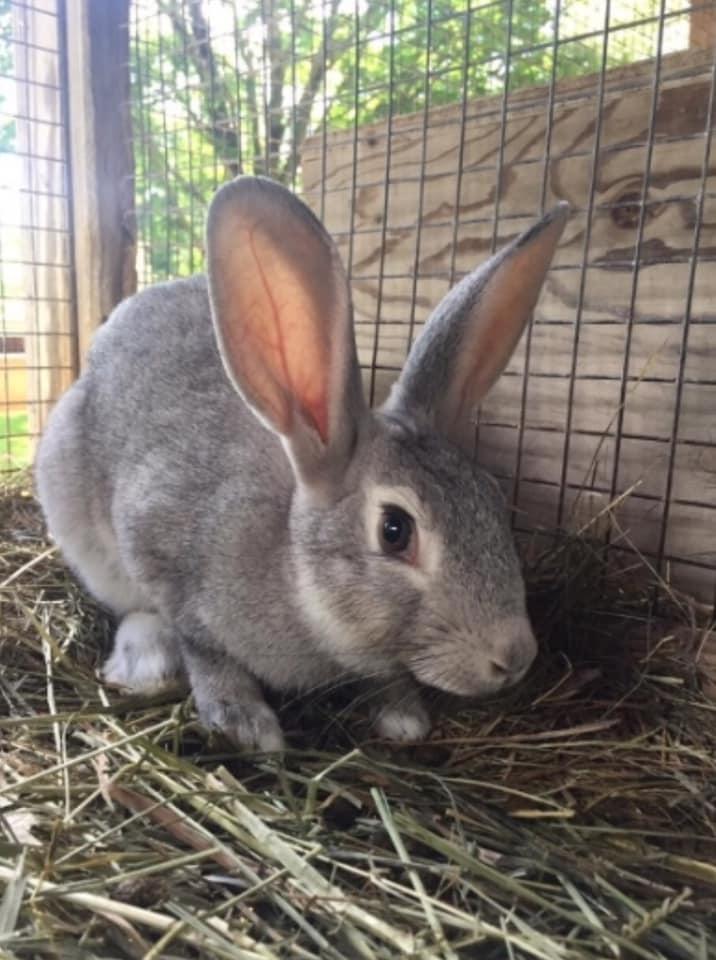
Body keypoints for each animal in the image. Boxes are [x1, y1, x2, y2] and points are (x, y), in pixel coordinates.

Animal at [35, 176, 567, 751]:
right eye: (395, 530)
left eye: (493, 498)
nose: (514, 656)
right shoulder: (161, 554)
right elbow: (202, 645)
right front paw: (245, 723)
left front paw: (402, 715)